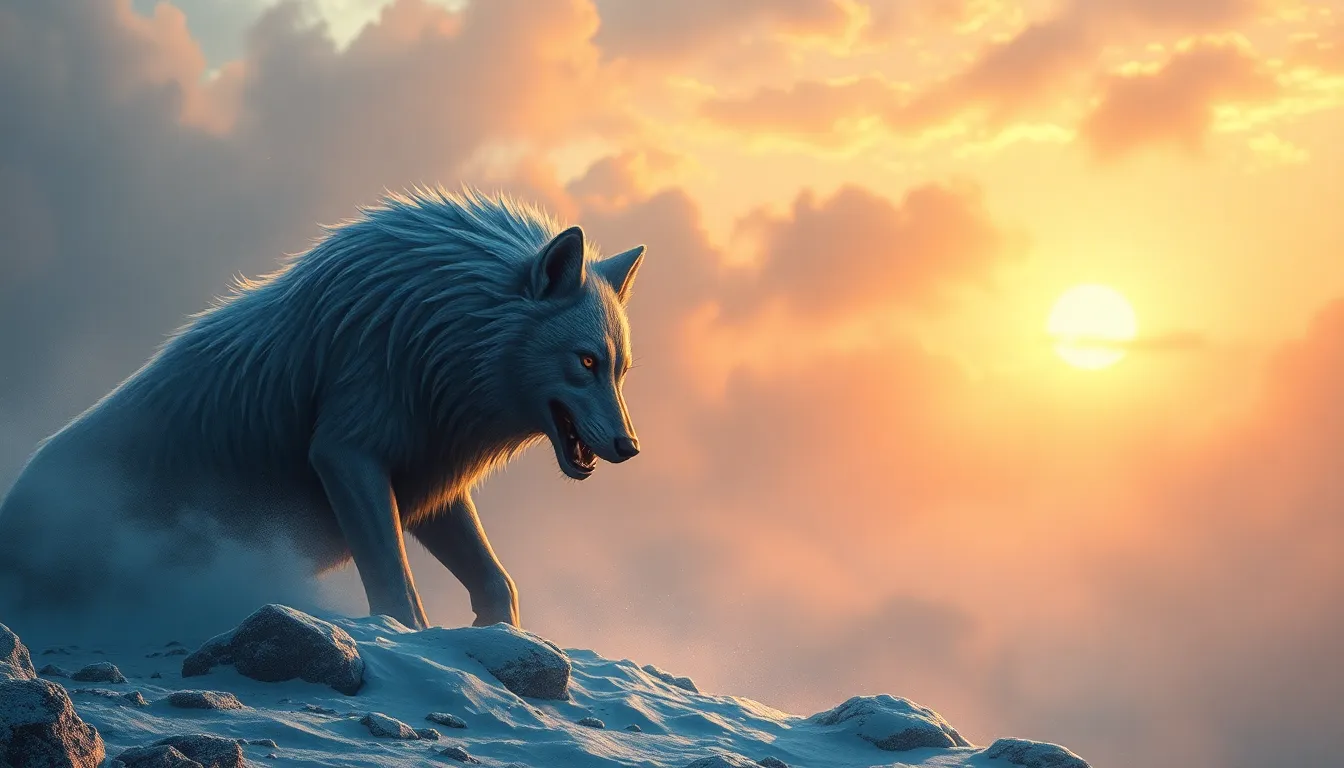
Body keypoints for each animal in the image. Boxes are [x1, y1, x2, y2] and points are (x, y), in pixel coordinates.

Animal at [0, 188, 647, 631]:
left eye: (619, 370)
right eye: (585, 361)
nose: (629, 446)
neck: (437, 335)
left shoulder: (429, 480)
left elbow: (497, 585)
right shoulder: (346, 455)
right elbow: (395, 589)